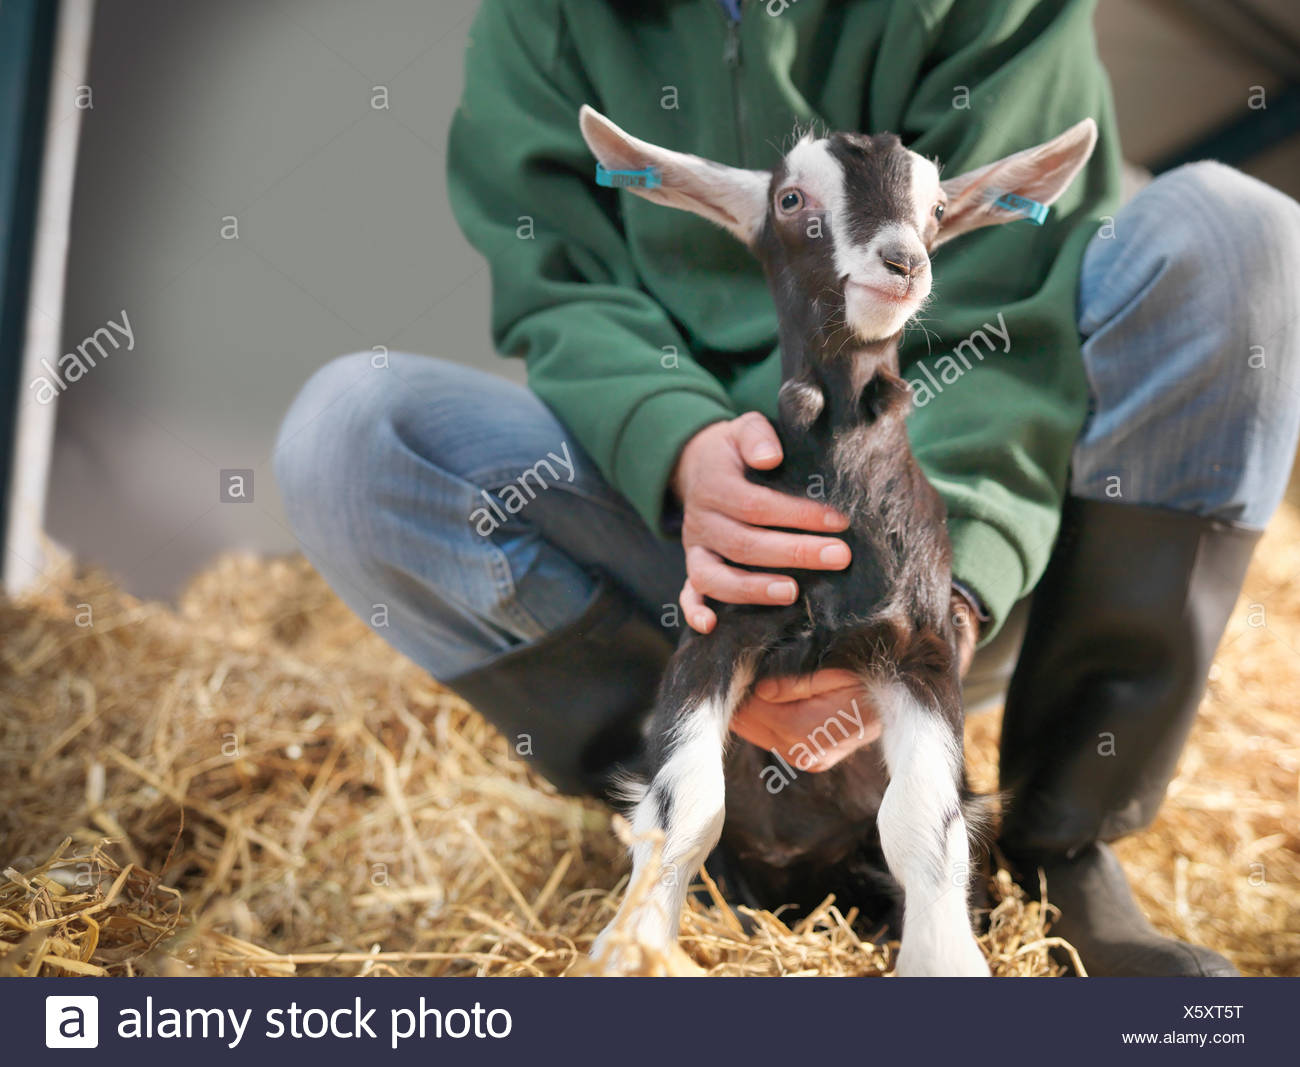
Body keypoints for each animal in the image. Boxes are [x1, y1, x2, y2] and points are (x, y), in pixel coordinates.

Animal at [580, 105, 1097, 976]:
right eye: (791, 199)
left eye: (937, 209)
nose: (903, 260)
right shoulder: (716, 627)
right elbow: (687, 806)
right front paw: (634, 948)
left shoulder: (921, 645)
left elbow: (920, 822)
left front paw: (946, 958)